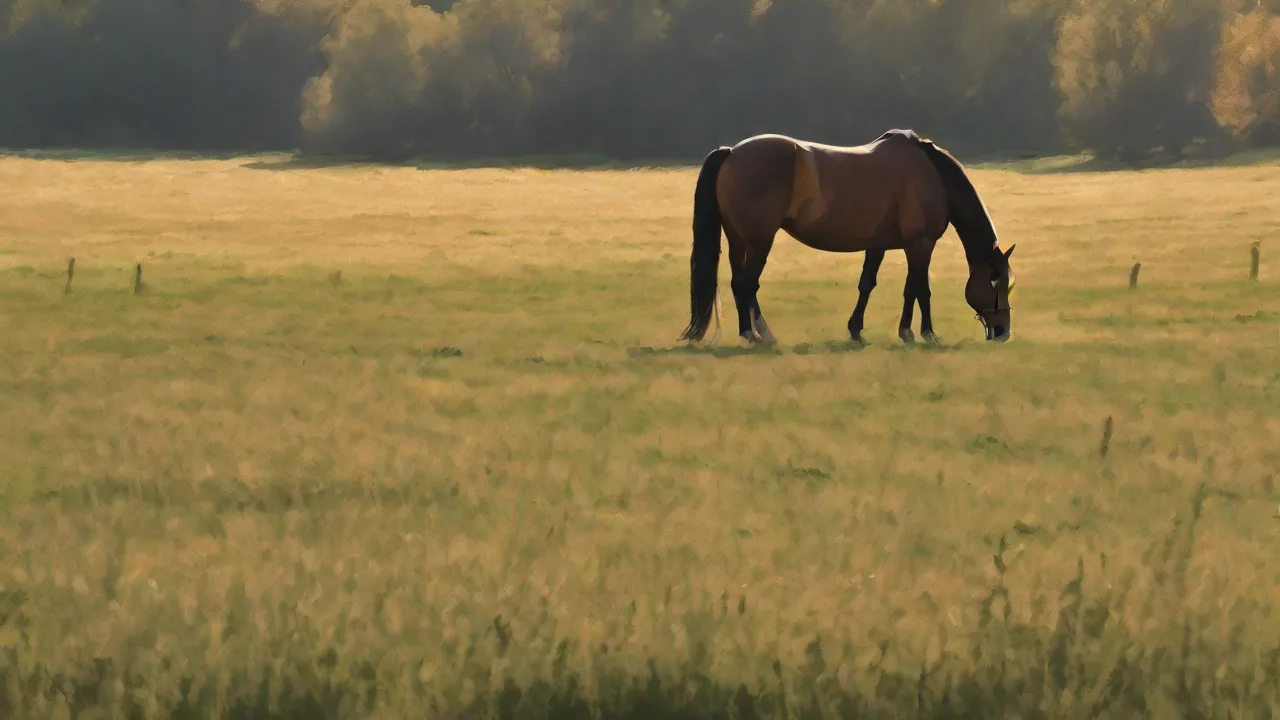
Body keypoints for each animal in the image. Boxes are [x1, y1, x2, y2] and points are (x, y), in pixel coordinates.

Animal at [675, 129, 1016, 346]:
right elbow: (919, 289)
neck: (931, 175)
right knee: (748, 284)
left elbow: (868, 285)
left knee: (739, 283)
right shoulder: (920, 244)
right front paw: (921, 333)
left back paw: (750, 333)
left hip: (739, 241)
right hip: (760, 242)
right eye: (995, 281)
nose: (1002, 332)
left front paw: (857, 330)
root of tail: (732, 152)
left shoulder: (878, 245)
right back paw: (760, 335)